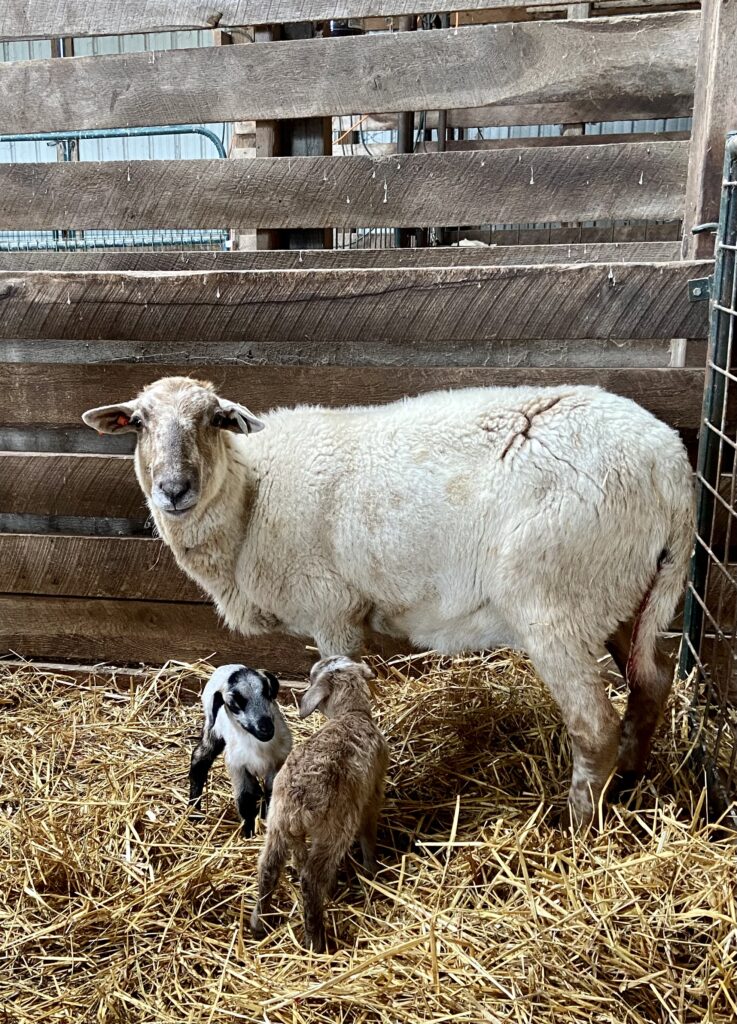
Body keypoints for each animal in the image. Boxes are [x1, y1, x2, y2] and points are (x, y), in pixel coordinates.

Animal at [189, 664, 292, 837]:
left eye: (267, 692)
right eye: (234, 704)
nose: (266, 728)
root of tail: (228, 666)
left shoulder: (278, 762)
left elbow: (271, 792)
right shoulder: (237, 768)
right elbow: (244, 800)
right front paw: (249, 833)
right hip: (213, 729)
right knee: (199, 759)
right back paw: (193, 810)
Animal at [250, 656, 389, 952]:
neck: (352, 713)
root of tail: (297, 802)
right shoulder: (373, 793)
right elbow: (368, 834)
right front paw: (372, 870)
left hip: (277, 823)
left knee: (268, 868)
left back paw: (258, 923)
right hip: (333, 830)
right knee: (311, 880)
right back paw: (316, 941)